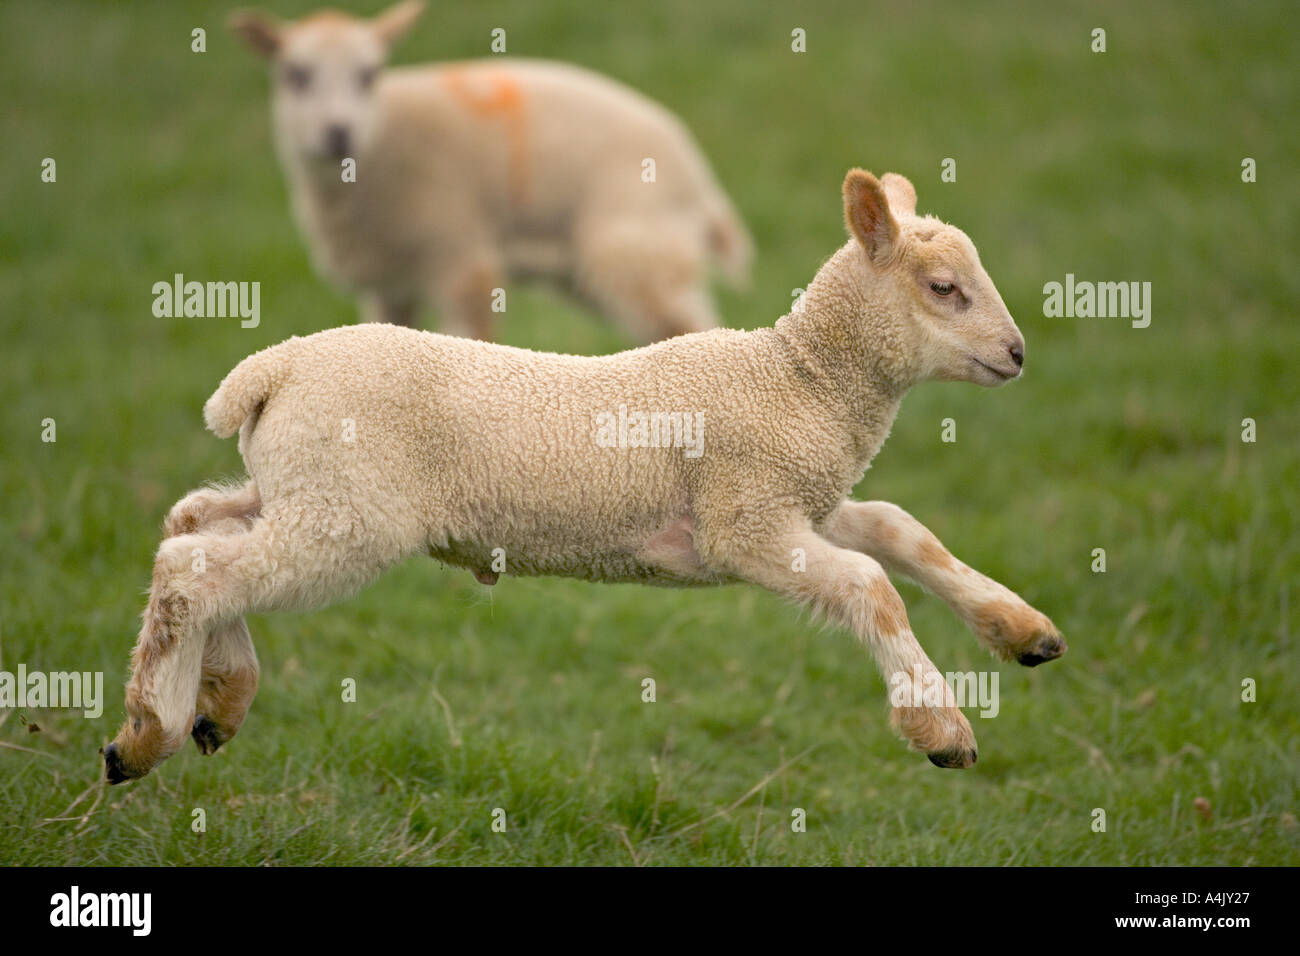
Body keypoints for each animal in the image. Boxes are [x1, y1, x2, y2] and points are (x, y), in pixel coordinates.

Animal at [103, 168, 1066, 784]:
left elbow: (904, 530)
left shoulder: (803, 499)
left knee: (192, 526)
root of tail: (271, 371)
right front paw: (941, 727)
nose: (1019, 355)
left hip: (299, 486)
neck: (802, 380)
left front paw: (1023, 631)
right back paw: (146, 735)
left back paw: (213, 704)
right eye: (942, 287)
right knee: (197, 570)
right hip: (348, 515)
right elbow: (873, 585)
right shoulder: (746, 520)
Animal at [228, 2, 752, 342]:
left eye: (368, 75)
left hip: (636, 247)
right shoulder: (389, 285)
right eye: (294, 75)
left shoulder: (462, 260)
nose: (338, 133)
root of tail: (697, 175)